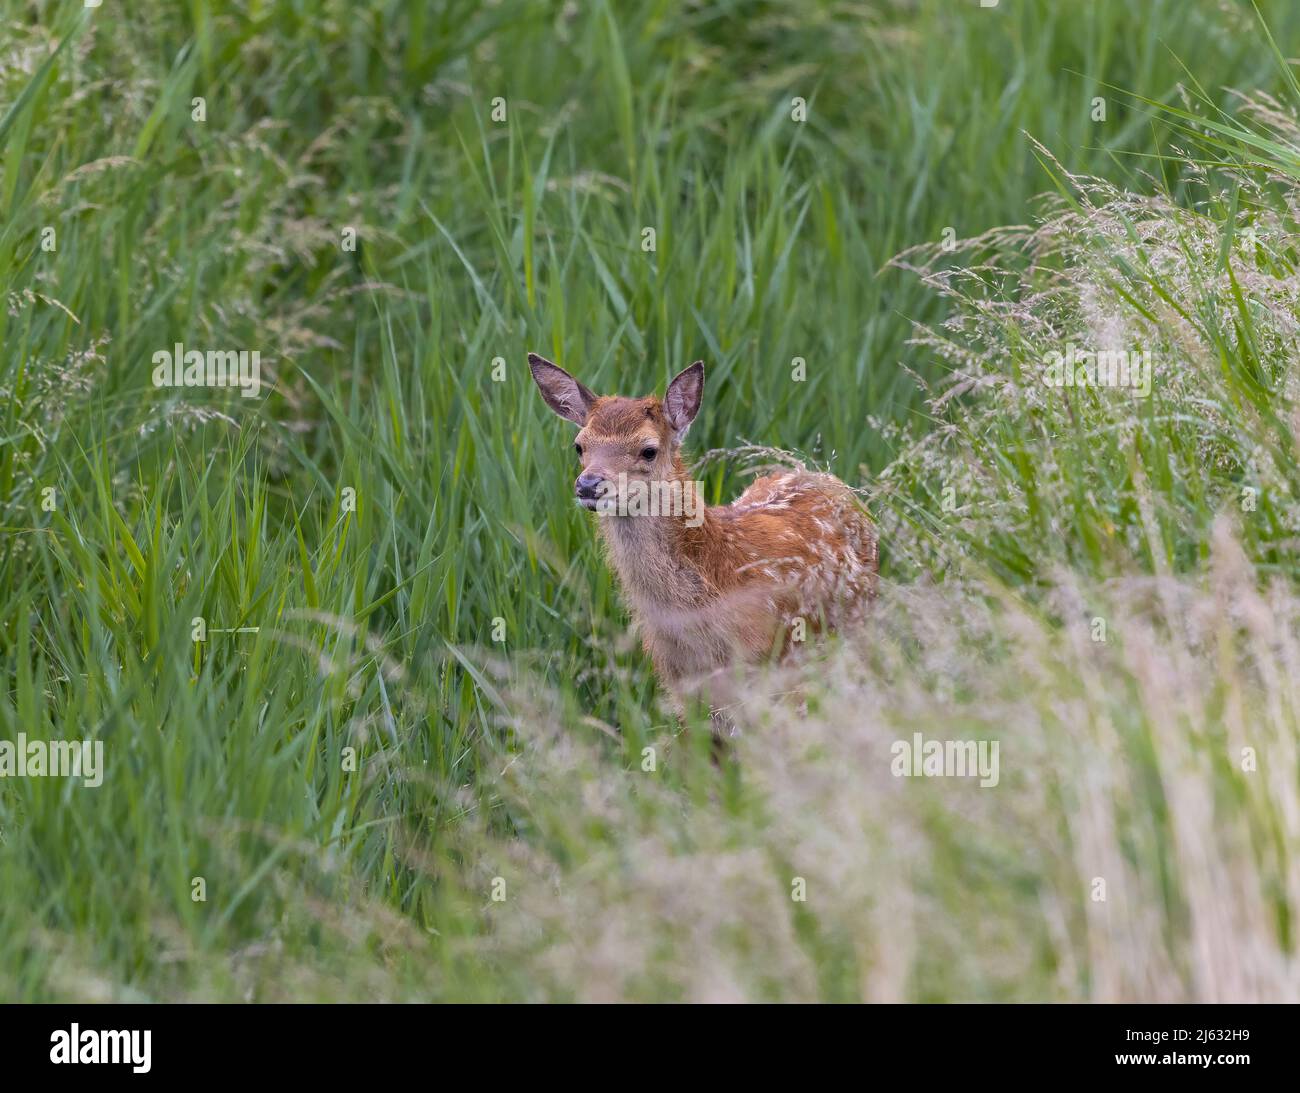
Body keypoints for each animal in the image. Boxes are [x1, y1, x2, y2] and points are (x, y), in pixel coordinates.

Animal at [528, 353, 878, 732]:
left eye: (648, 451)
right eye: (580, 446)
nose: (589, 485)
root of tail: (826, 477)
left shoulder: (770, 670)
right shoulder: (682, 683)